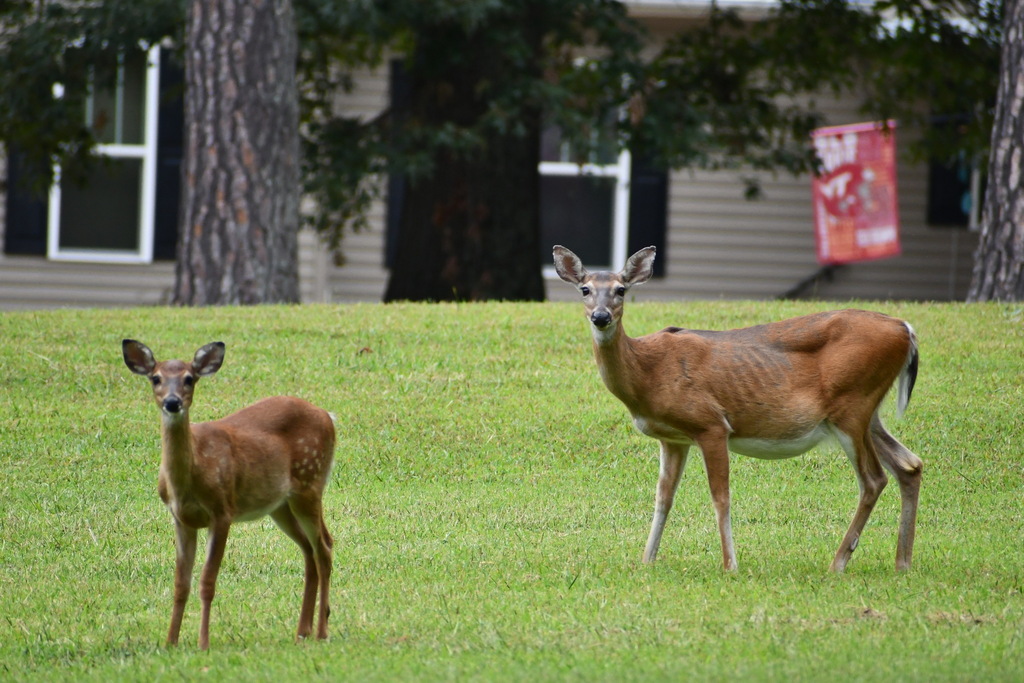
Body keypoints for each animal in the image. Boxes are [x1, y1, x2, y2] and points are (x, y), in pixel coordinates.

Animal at [122, 339, 336, 649]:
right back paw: (302, 631)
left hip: (310, 482)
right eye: (156, 378)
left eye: (189, 378)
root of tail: (328, 416)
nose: (172, 402)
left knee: (324, 548)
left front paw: (203, 643)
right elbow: (180, 583)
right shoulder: (181, 519)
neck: (193, 475)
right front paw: (170, 642)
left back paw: (321, 631)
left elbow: (207, 581)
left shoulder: (222, 512)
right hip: (280, 505)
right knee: (309, 550)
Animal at [552, 245, 923, 573]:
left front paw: (730, 565)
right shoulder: (673, 438)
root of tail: (906, 329)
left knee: (873, 479)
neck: (648, 373)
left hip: (853, 404)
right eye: (585, 289)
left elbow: (721, 497)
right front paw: (647, 560)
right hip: (867, 413)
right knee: (909, 465)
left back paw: (839, 563)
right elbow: (663, 498)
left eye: (621, 290)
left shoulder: (710, 424)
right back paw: (902, 563)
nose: (601, 316)